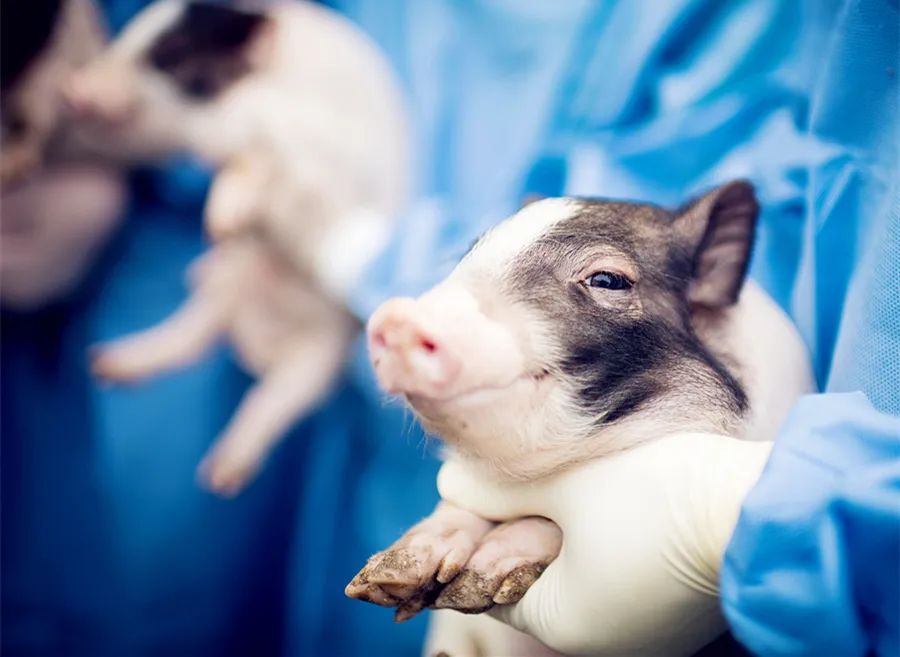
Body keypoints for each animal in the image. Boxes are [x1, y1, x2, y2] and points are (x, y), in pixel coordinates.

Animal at [64, 0, 410, 494]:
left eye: (172, 53)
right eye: (131, 31)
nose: (74, 89)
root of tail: (253, 338)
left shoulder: (322, 163)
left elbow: (263, 165)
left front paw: (222, 220)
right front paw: (217, 229)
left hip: (317, 356)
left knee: (273, 402)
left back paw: (221, 477)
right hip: (220, 298)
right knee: (187, 339)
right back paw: (108, 362)